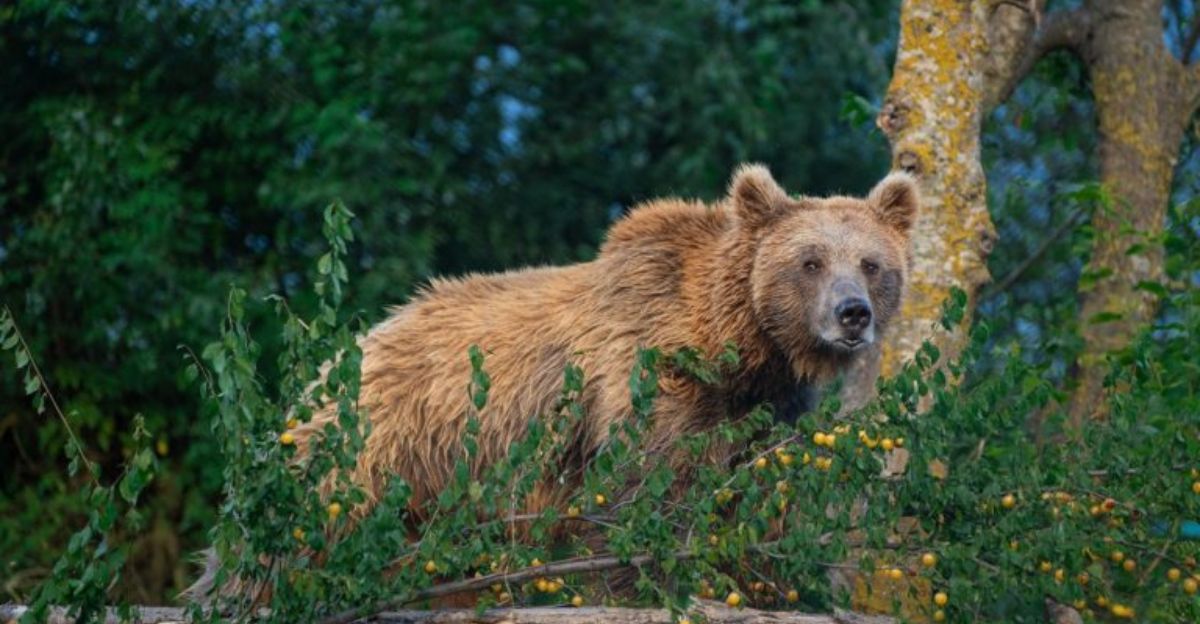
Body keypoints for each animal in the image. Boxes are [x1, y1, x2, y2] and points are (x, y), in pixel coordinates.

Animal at [186, 164, 917, 599]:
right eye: (810, 261)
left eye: (872, 262)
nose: (853, 314)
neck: (736, 343)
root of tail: (353, 348)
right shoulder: (644, 380)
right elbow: (642, 488)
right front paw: (639, 578)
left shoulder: (763, 408)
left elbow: (755, 494)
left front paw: (771, 576)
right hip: (375, 440)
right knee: (297, 523)